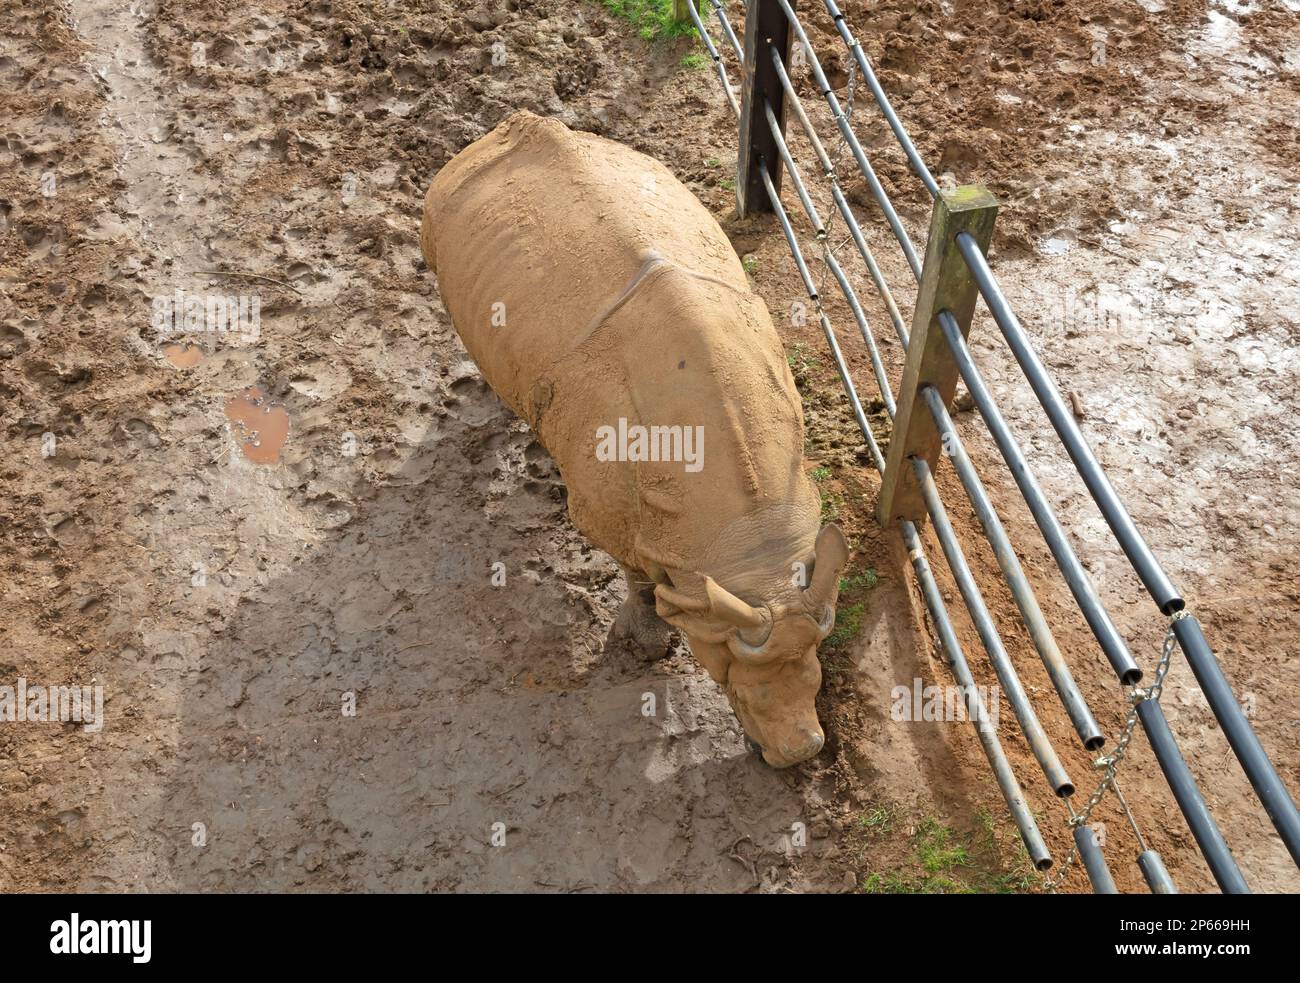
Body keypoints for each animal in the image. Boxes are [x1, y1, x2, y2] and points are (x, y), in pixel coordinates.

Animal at [421, 111, 848, 767]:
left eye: (817, 668)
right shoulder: (615, 519)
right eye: (728, 679)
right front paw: (643, 644)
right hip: (441, 213)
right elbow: (640, 576)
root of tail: (498, 133)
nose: (800, 752)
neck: (743, 548)